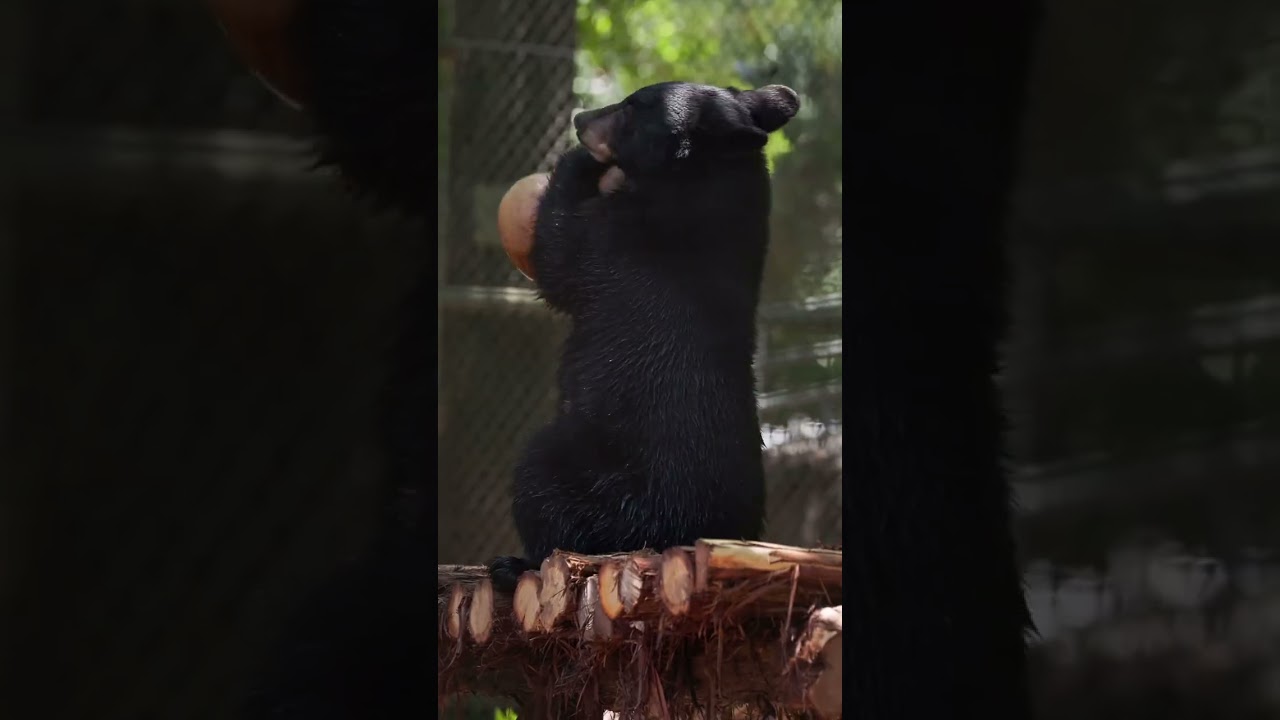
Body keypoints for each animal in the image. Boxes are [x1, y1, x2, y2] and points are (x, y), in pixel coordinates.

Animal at [488, 81, 800, 590]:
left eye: (632, 107)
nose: (580, 118)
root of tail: (680, 532)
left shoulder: (621, 239)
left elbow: (561, 258)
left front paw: (575, 160)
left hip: (599, 477)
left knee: (543, 484)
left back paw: (515, 563)